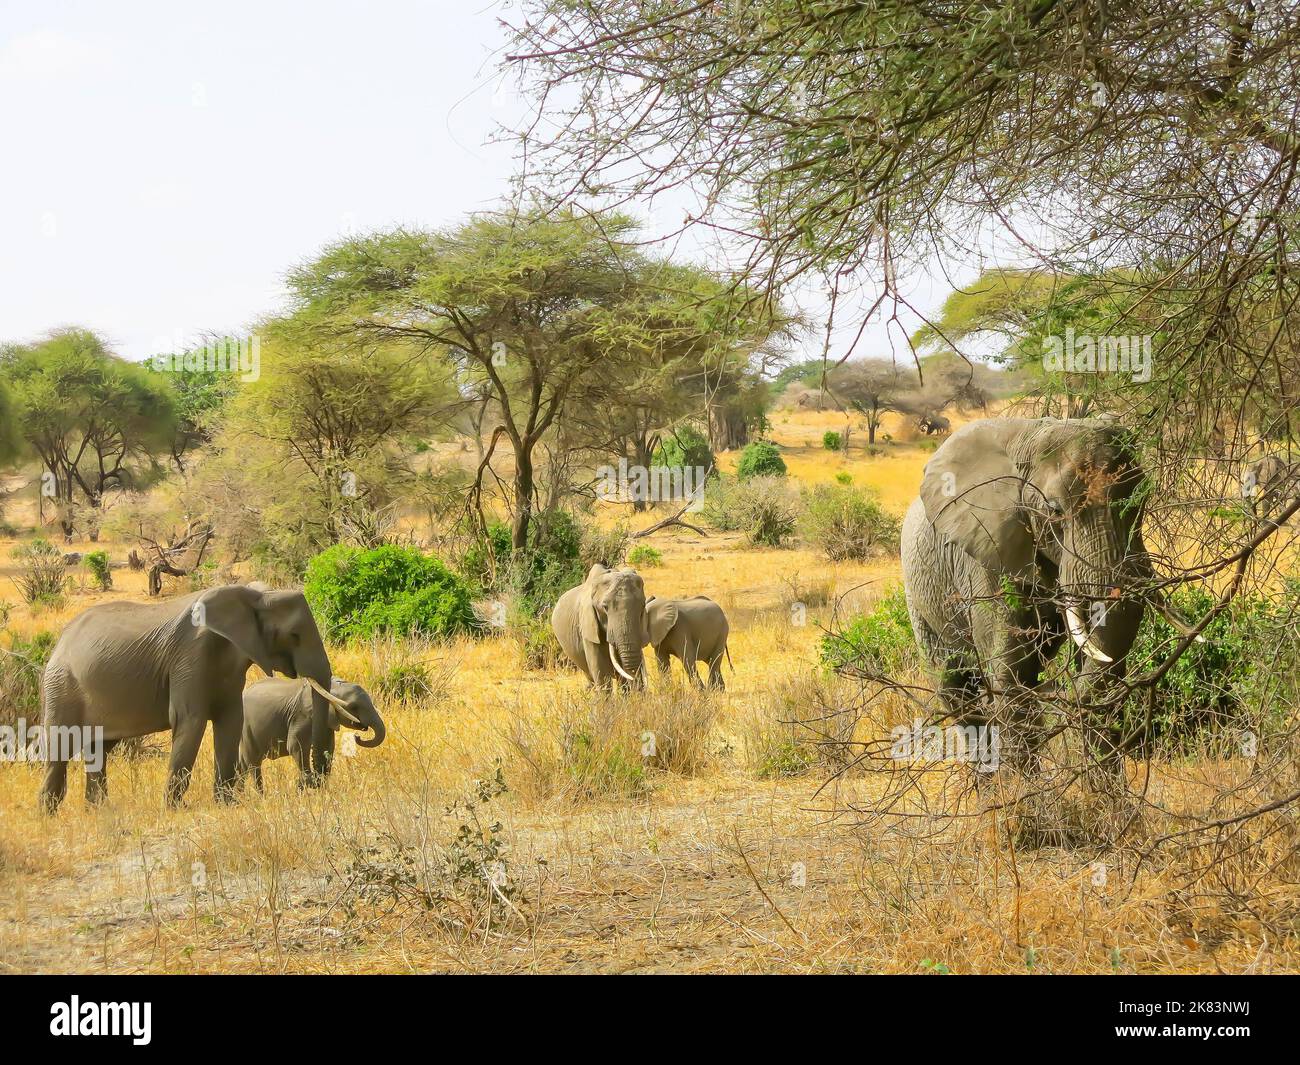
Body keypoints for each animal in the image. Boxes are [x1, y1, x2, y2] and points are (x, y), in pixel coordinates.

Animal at [38, 584, 336, 811]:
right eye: (294, 635)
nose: (313, 784)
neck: (254, 595)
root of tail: (59, 642)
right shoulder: (190, 654)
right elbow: (190, 719)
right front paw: (175, 809)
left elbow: (231, 721)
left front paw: (227, 805)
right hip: (61, 686)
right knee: (61, 747)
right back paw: (48, 814)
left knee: (98, 749)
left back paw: (99, 810)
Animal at [238, 677, 384, 790]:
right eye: (353, 707)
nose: (357, 736)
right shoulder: (302, 715)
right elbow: (296, 747)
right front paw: (307, 783)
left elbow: (327, 748)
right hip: (246, 729)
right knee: (253, 764)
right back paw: (259, 797)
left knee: (242, 764)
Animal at [900, 417, 1190, 769]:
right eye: (1054, 511)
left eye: (1142, 501)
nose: (1067, 695)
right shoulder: (987, 555)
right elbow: (1010, 671)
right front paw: (1019, 787)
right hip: (918, 594)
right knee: (956, 689)